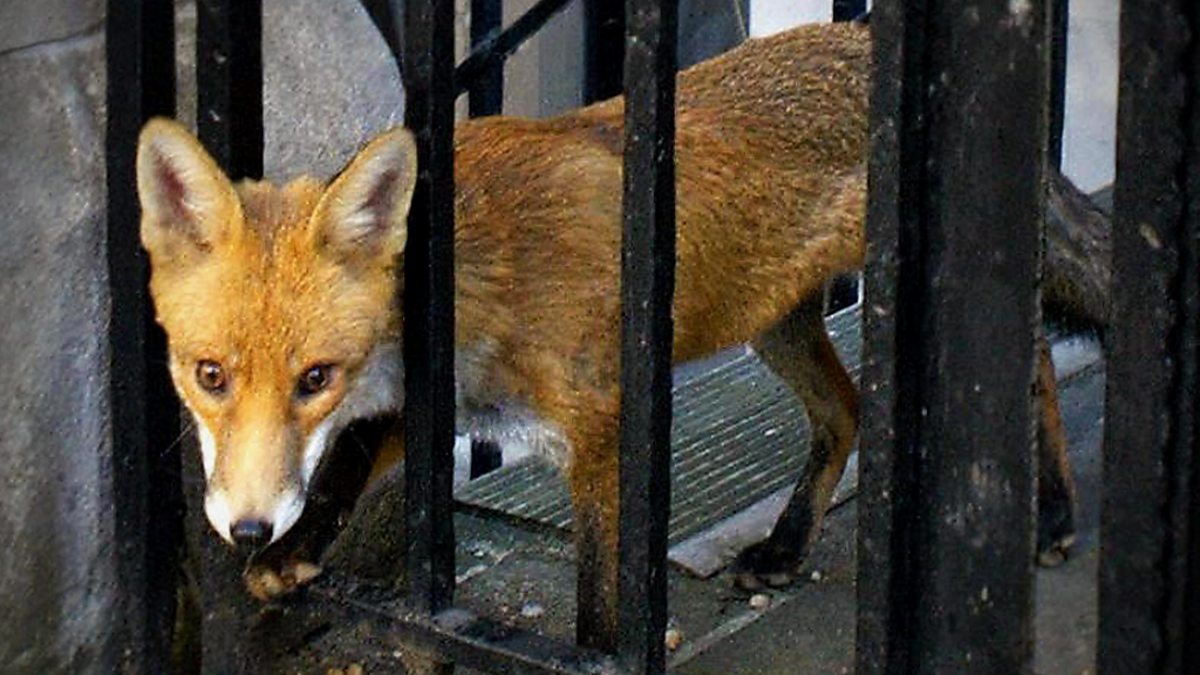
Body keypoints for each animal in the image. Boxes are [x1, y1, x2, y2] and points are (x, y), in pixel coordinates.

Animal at [136, 20, 1077, 647]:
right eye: (208, 374)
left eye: (315, 377)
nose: (247, 527)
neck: (473, 281)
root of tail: (865, 39)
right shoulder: (447, 399)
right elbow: (354, 455)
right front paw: (294, 550)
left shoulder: (602, 436)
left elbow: (599, 608)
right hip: (775, 322)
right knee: (844, 412)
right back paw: (783, 546)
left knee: (1034, 365)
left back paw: (1052, 511)